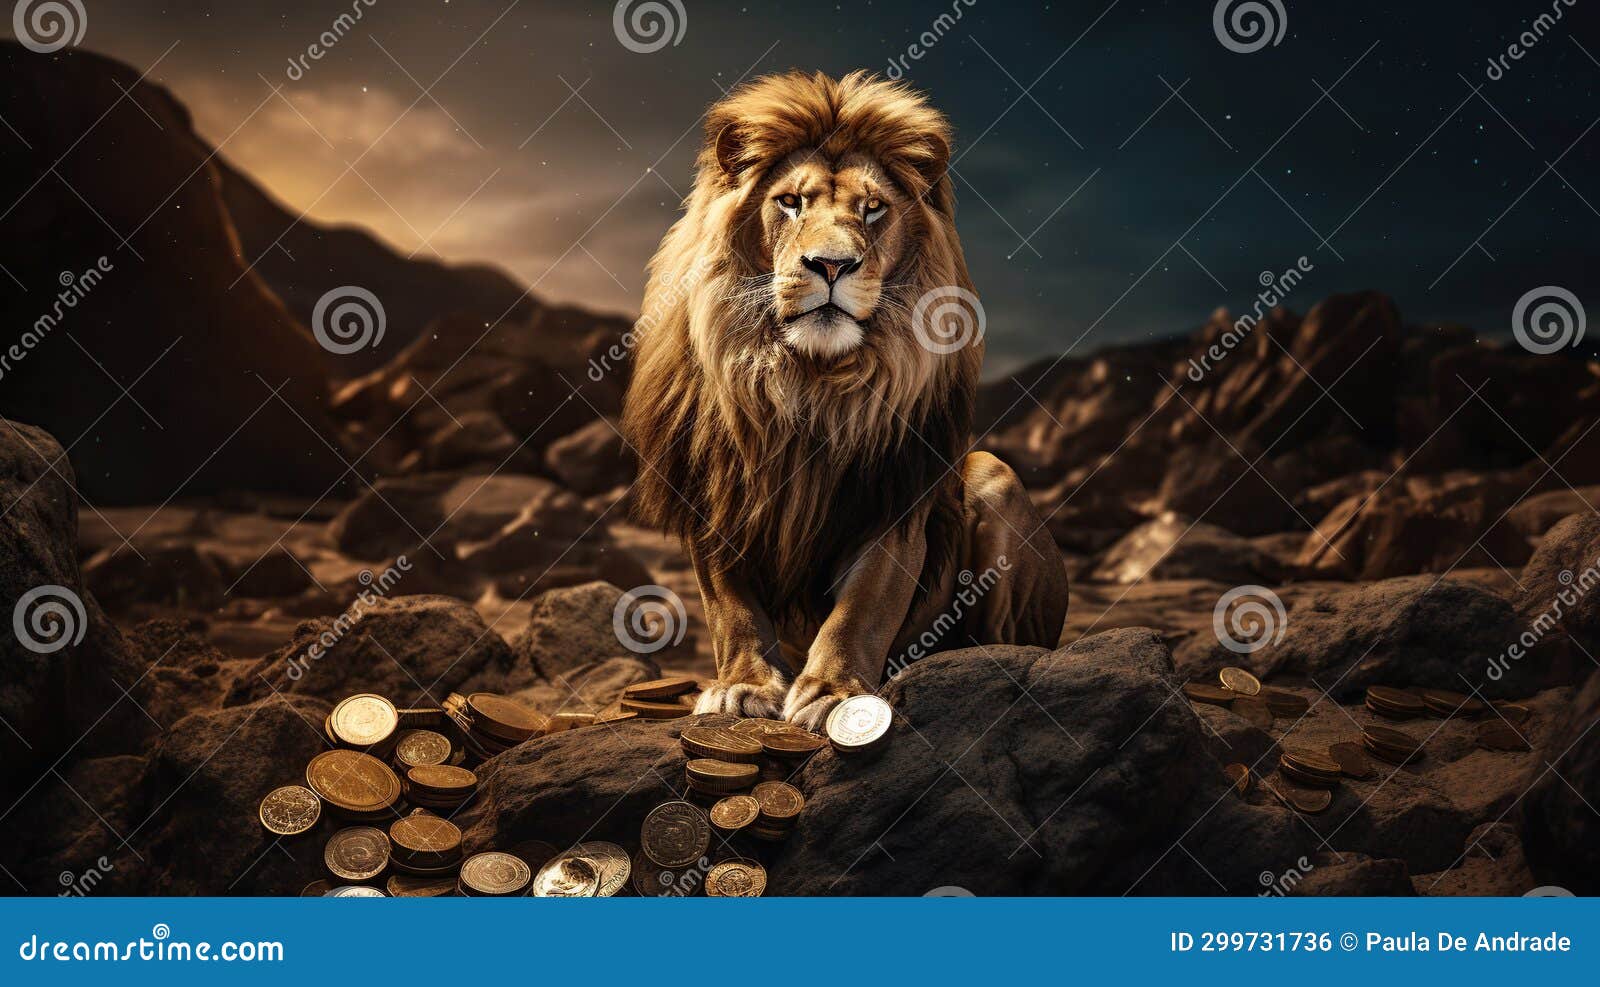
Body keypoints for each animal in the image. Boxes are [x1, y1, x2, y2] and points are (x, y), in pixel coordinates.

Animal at [621, 70, 1069, 731]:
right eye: (790, 202)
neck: (811, 381)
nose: (831, 264)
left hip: (996, 477)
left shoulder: (894, 500)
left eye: (873, 207)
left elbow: (862, 605)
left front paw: (833, 691)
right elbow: (731, 608)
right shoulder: (714, 495)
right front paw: (742, 686)